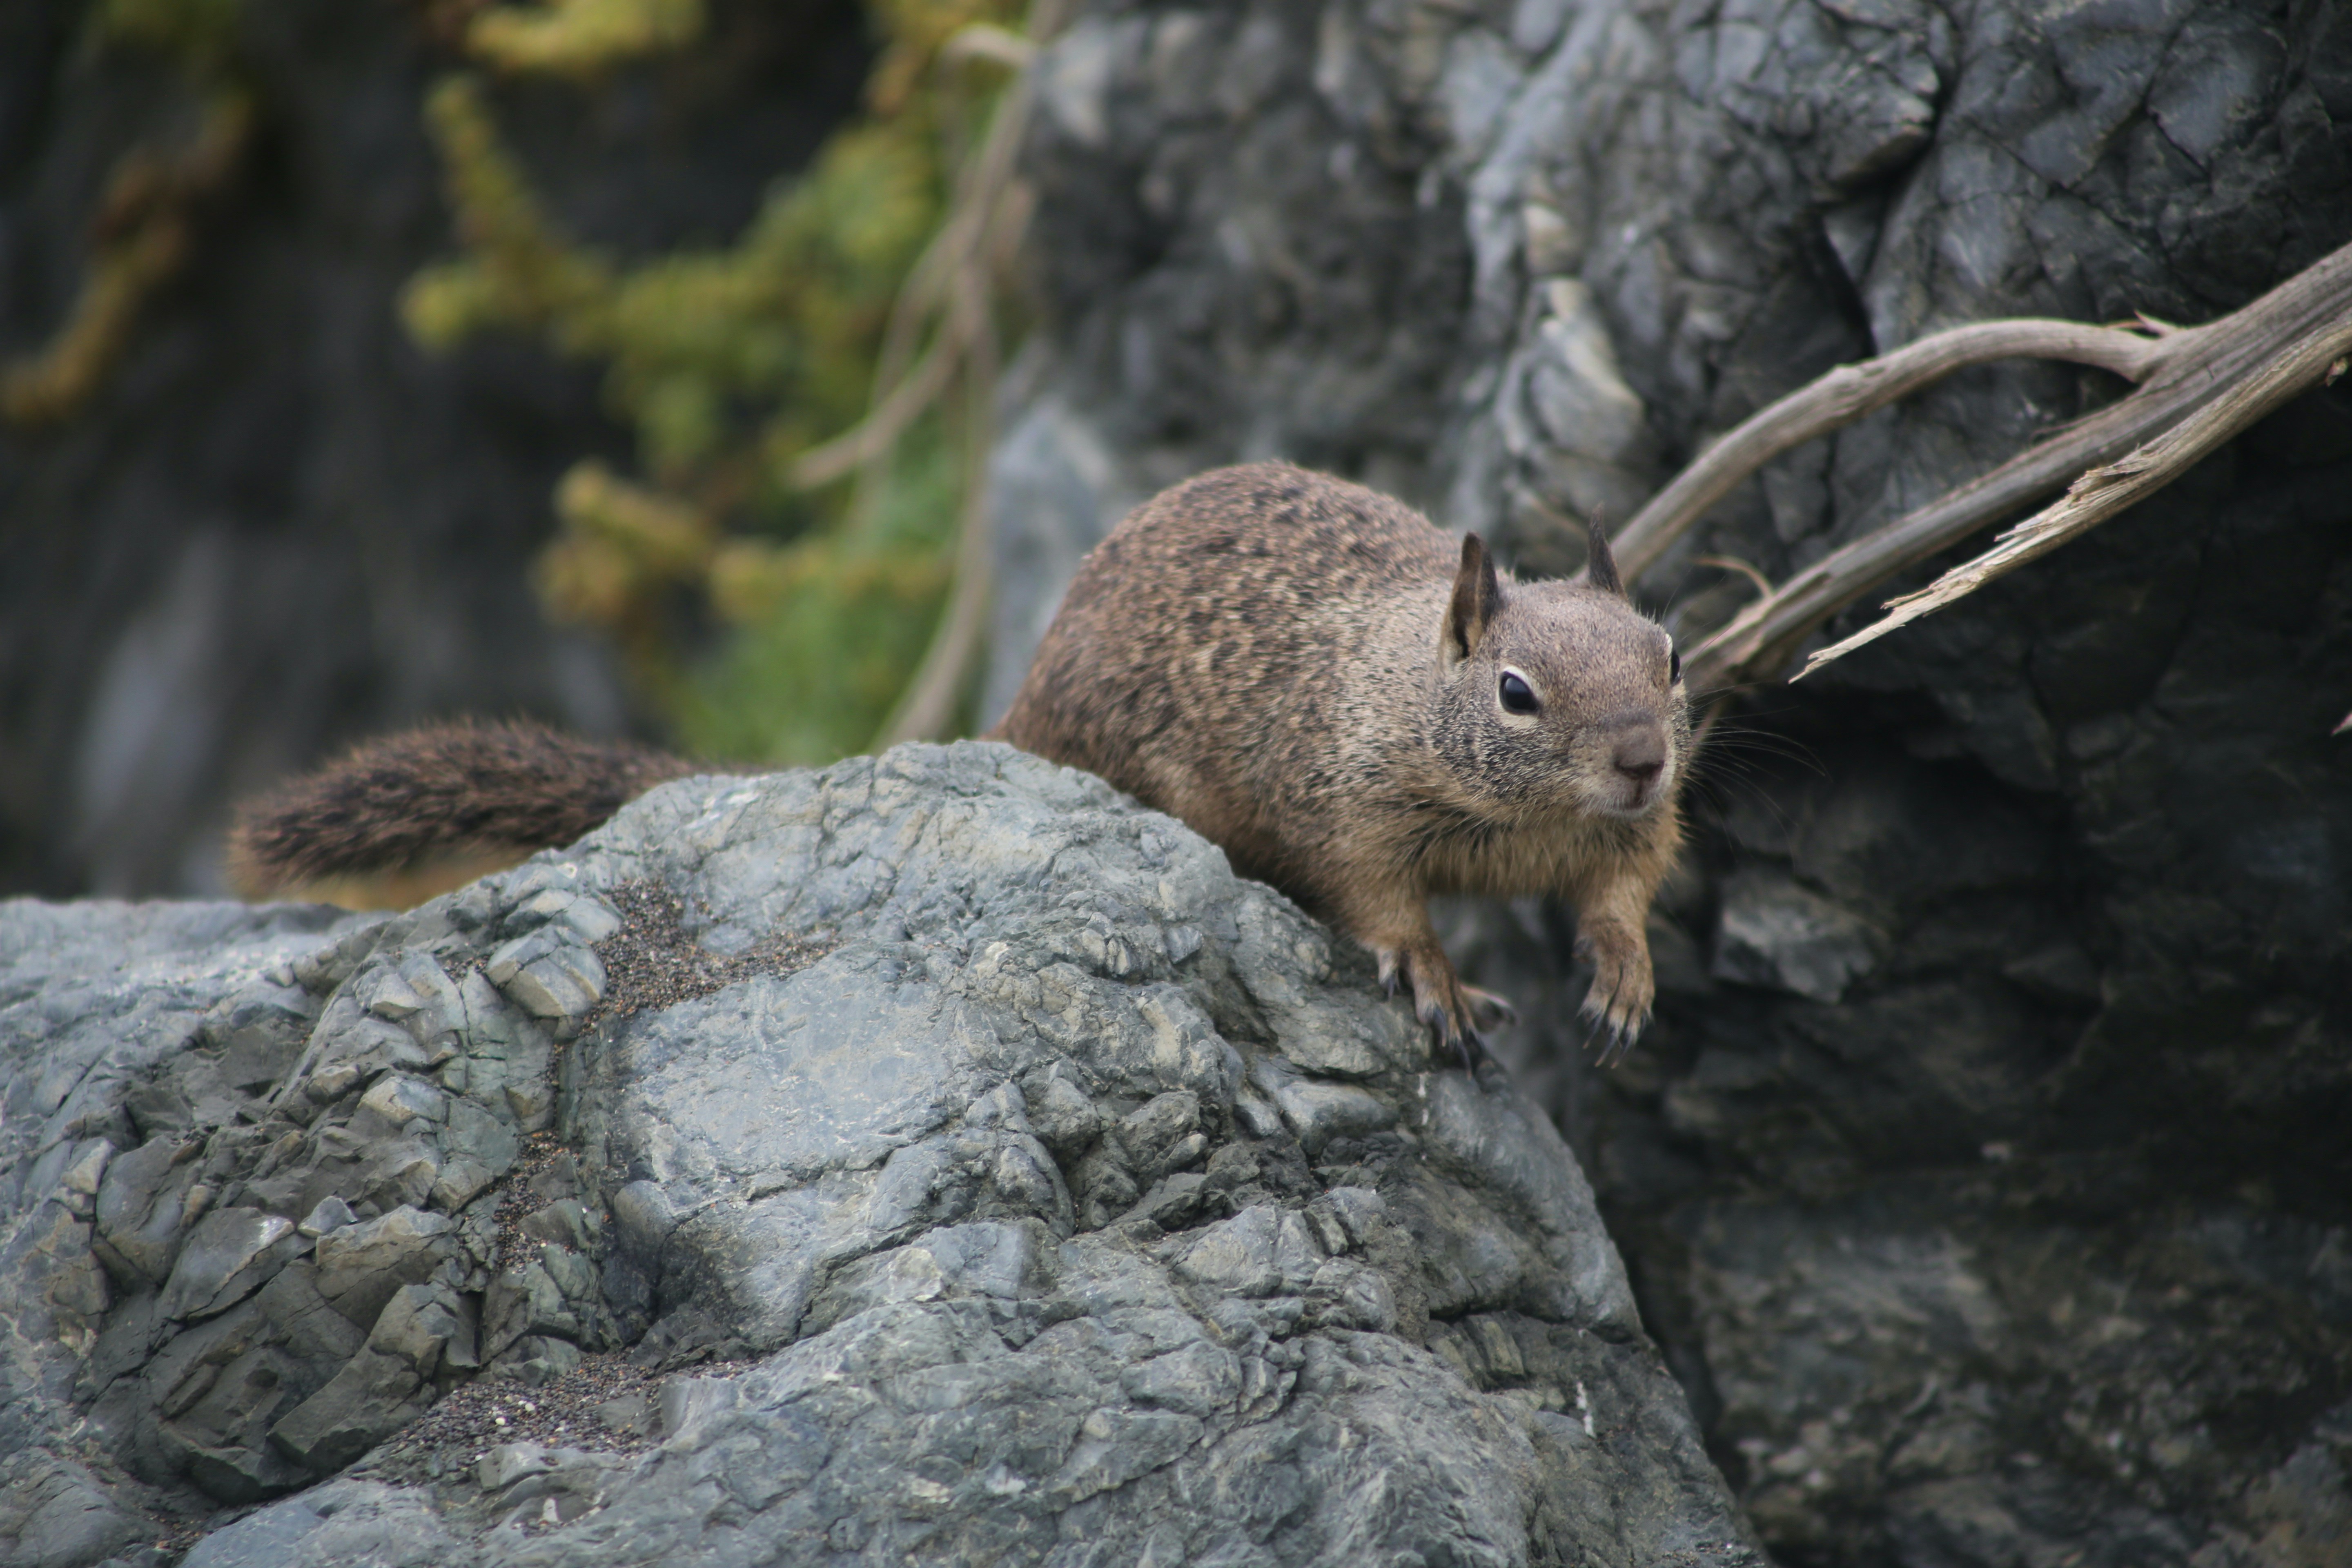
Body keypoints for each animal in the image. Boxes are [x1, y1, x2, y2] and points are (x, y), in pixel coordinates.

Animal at [229, 461, 1690, 1063]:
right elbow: (1382, 907)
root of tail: (1025, 705)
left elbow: (1624, 889)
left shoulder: (1623, 835)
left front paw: (1623, 977)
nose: (1640, 760)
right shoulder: (1347, 804)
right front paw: (1440, 979)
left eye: (1671, 653)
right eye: (1516, 693)